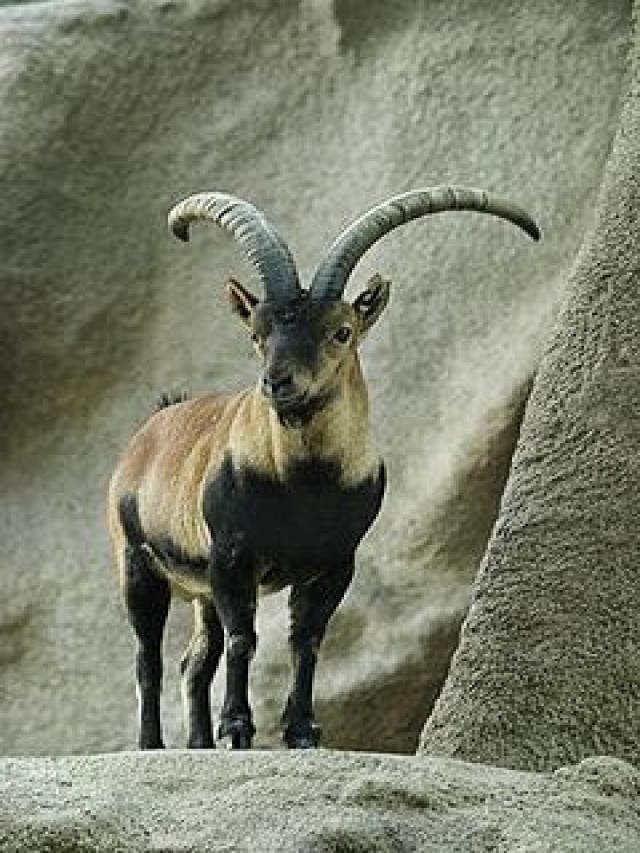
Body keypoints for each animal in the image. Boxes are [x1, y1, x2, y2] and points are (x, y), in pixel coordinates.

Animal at [107, 187, 540, 750]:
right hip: (136, 562)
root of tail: (150, 429)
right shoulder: (232, 555)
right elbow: (245, 639)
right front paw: (239, 728)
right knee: (148, 657)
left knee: (194, 661)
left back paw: (198, 745)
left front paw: (302, 731)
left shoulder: (334, 562)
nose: (277, 382)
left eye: (341, 331)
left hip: (198, 588)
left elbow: (307, 640)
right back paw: (153, 745)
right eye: (257, 333)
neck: (305, 484)